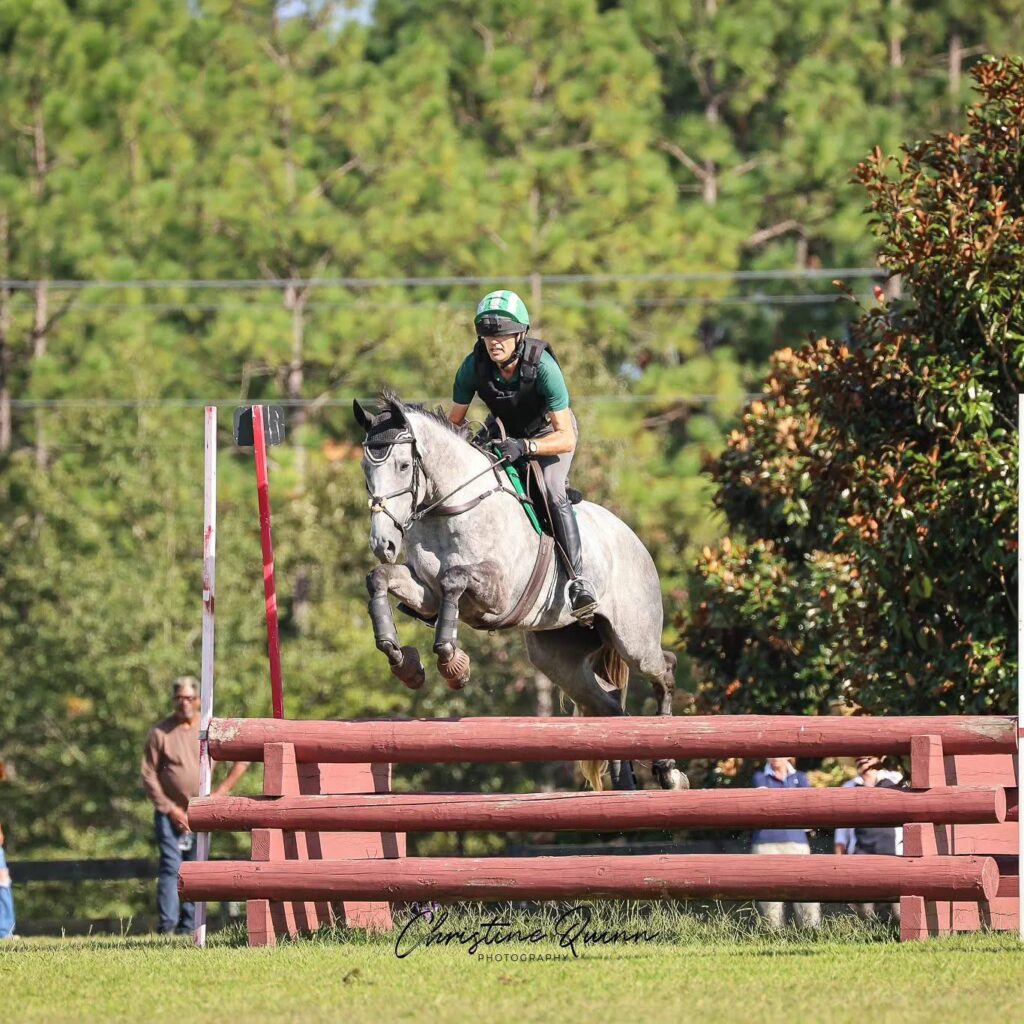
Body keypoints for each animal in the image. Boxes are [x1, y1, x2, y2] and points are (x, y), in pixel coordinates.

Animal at [354, 392, 686, 792]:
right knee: (610, 706)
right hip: (557, 656)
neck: (452, 508)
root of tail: (634, 540)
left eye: (403, 466)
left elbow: (455, 579)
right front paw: (402, 660)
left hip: (633, 639)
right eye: (365, 469)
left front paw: (452, 664)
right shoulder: (426, 591)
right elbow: (381, 578)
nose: (383, 543)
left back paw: (669, 770)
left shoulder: (497, 592)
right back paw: (626, 785)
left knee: (664, 668)